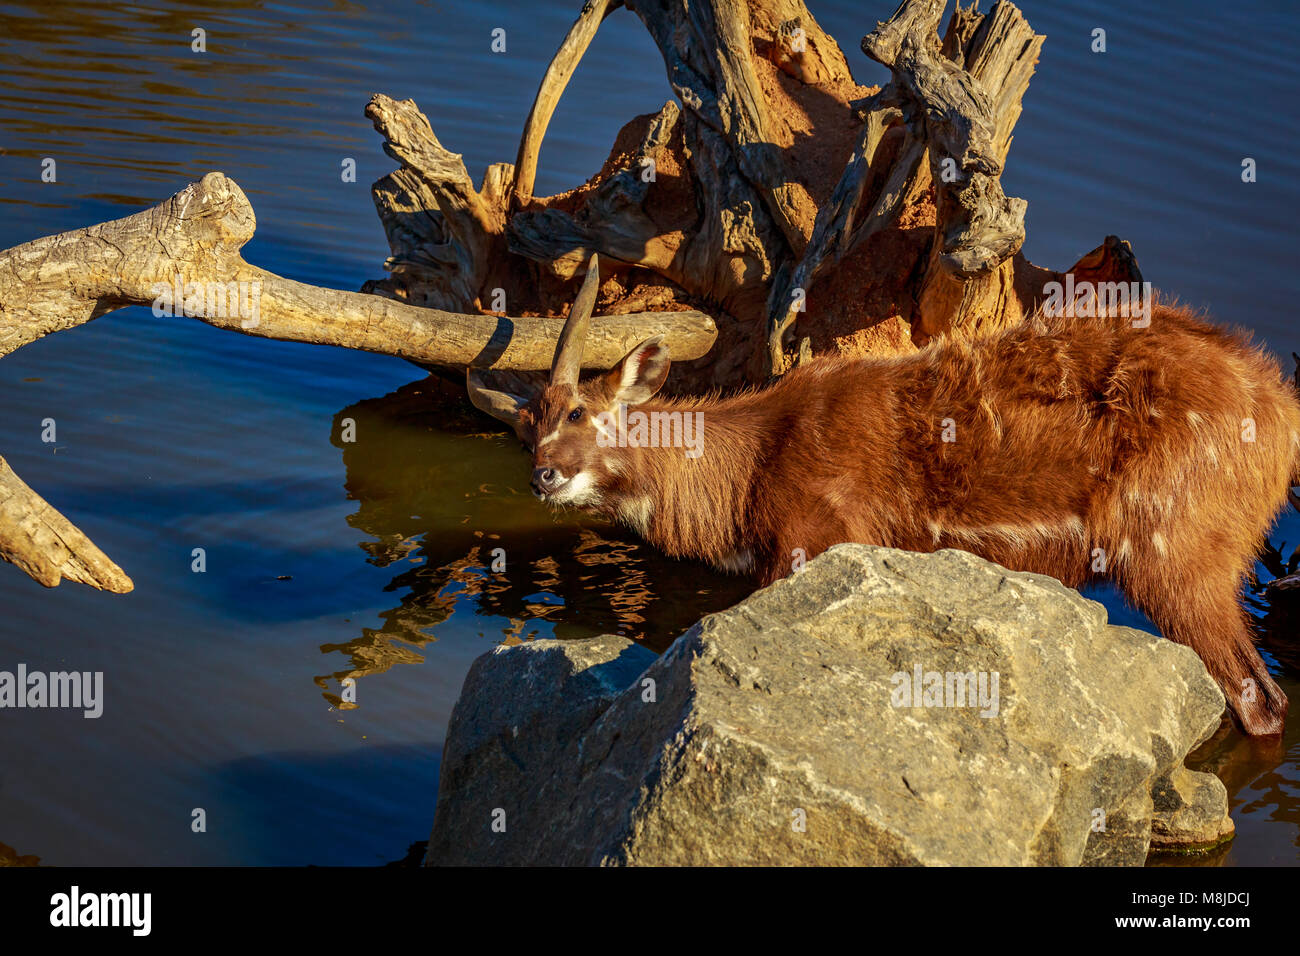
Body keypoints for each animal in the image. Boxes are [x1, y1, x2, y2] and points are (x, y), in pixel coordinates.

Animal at [468, 256, 1300, 736]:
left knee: (1261, 701)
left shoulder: (811, 542)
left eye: (581, 411)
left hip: (1174, 560)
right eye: (526, 427)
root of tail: (1282, 409)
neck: (757, 459)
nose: (544, 476)